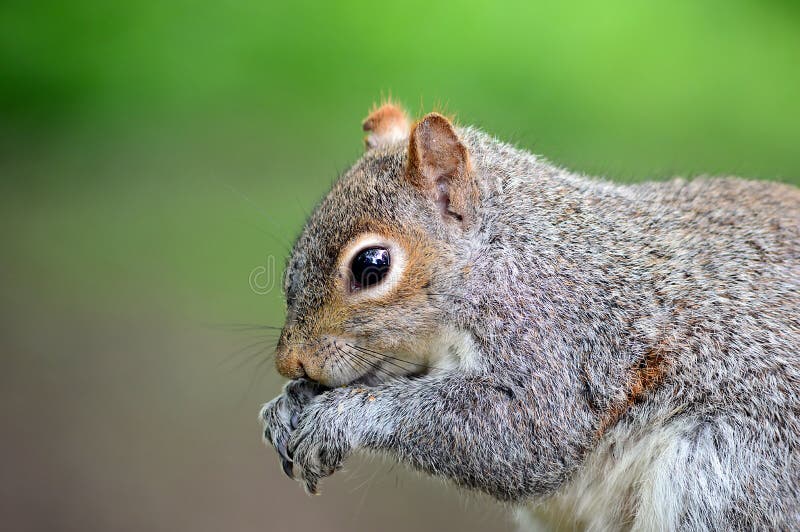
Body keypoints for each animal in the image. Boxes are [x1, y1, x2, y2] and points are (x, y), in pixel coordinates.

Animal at [260, 101, 800, 530]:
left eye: (372, 265)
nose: (291, 362)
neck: (502, 251)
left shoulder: (557, 332)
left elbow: (527, 431)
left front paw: (340, 417)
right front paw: (289, 404)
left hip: (725, 477)